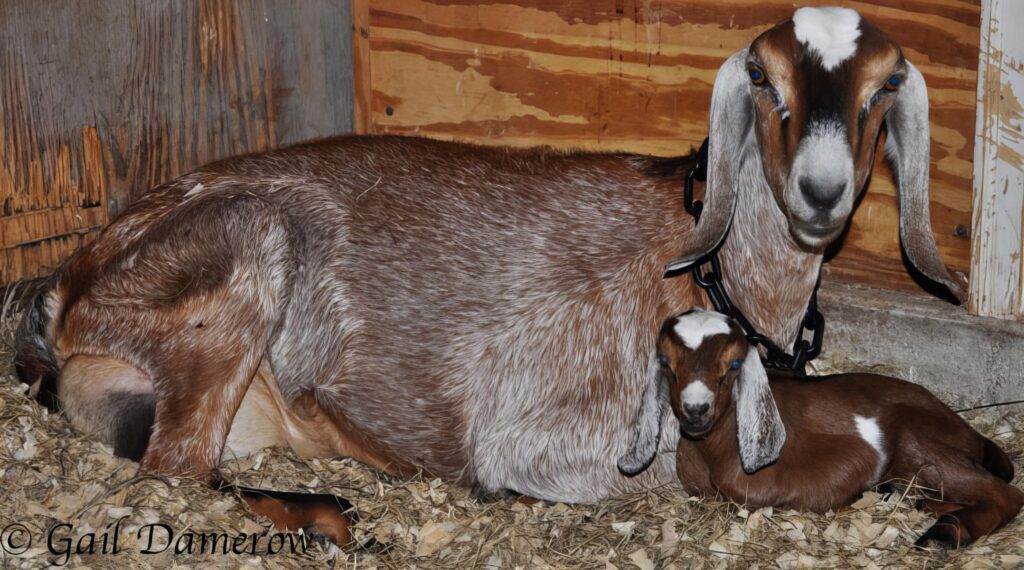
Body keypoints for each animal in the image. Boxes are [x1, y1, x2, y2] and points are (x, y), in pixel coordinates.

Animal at [14, 7, 962, 540]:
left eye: (885, 86)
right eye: (763, 76)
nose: (820, 190)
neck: (709, 264)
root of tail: (68, 287)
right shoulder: (541, 424)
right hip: (242, 258)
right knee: (175, 470)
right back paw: (330, 516)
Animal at [628, 308, 1022, 548]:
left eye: (734, 365)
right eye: (665, 362)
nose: (696, 411)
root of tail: (973, 433)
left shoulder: (846, 460)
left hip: (919, 440)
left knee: (1006, 493)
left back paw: (945, 533)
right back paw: (920, 502)